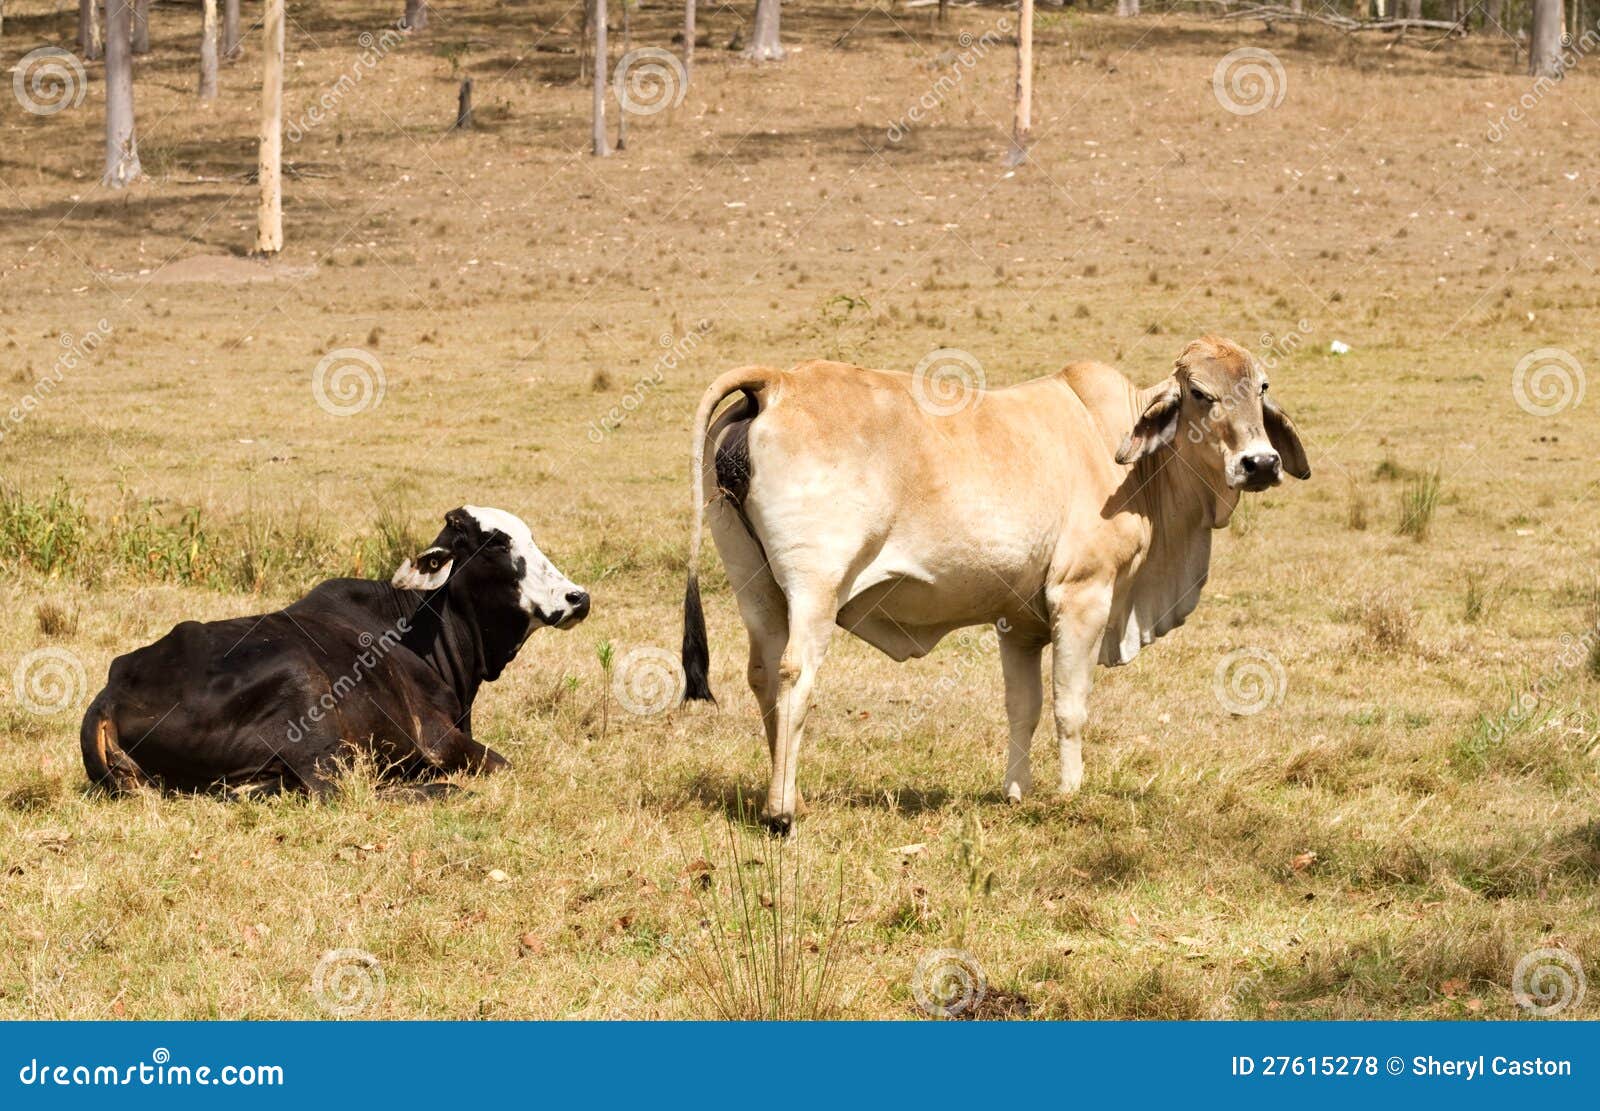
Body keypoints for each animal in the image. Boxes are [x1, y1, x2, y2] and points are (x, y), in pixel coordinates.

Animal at [80, 506, 590, 797]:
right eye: (496, 543)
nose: (577, 597)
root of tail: (110, 694)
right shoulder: (439, 738)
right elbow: (504, 765)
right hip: (304, 693)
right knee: (337, 791)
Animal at [680, 336, 1309, 832]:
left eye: (1261, 387)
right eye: (1200, 392)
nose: (1261, 463)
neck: (1126, 460)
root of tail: (777, 382)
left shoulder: (1020, 624)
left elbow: (1022, 709)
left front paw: (1016, 794)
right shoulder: (1083, 596)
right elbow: (1069, 708)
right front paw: (1069, 794)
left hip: (756, 588)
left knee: (762, 675)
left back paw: (789, 796)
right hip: (815, 586)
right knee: (794, 674)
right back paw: (782, 812)